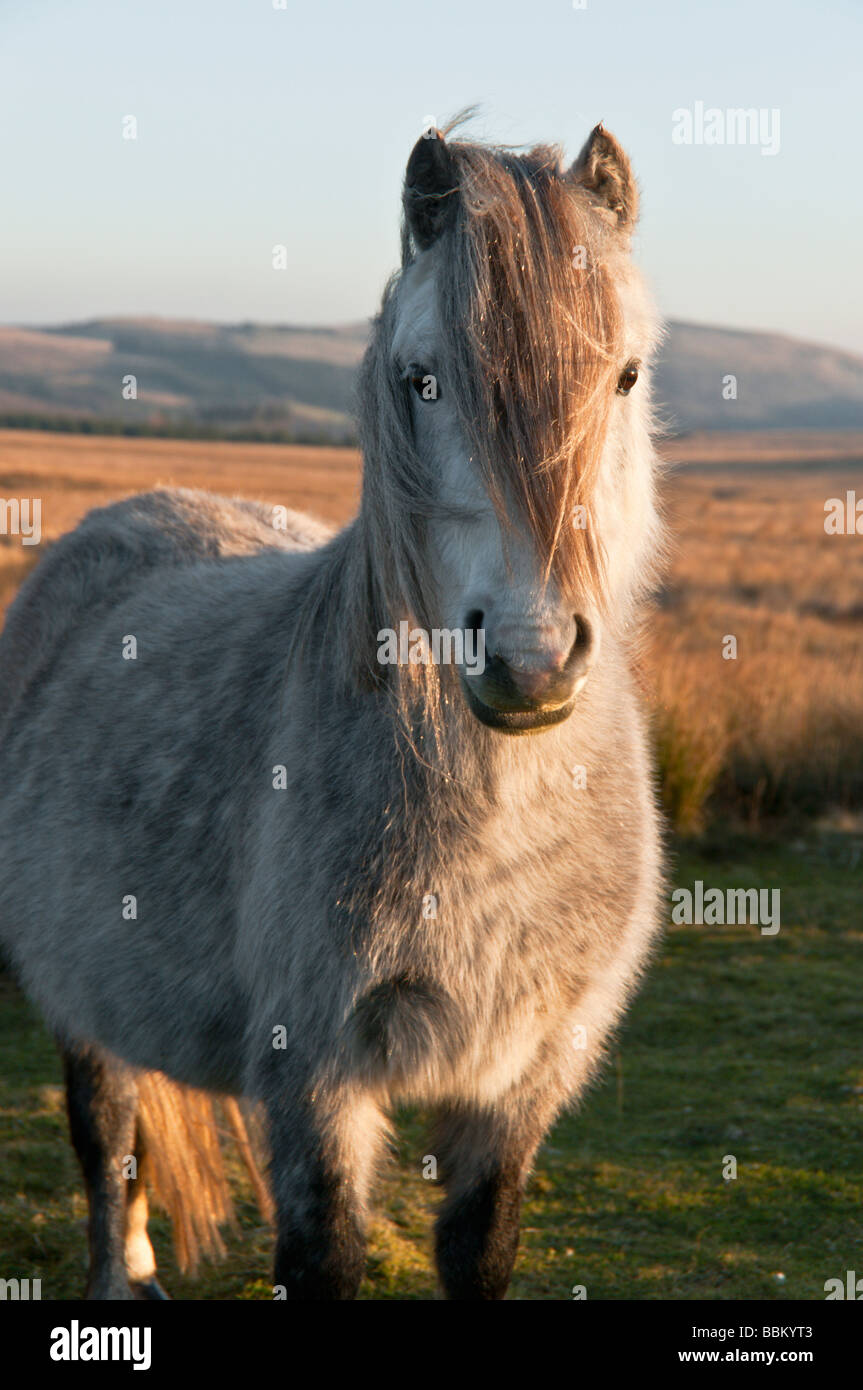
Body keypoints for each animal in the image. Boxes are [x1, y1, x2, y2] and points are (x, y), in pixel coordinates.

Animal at [0, 118, 665, 1300]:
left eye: (624, 373)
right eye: (423, 380)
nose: (530, 659)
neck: (496, 831)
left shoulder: (519, 1090)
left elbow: (479, 1254)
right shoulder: (314, 1080)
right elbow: (325, 1256)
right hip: (77, 996)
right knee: (107, 1137)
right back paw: (120, 1278)